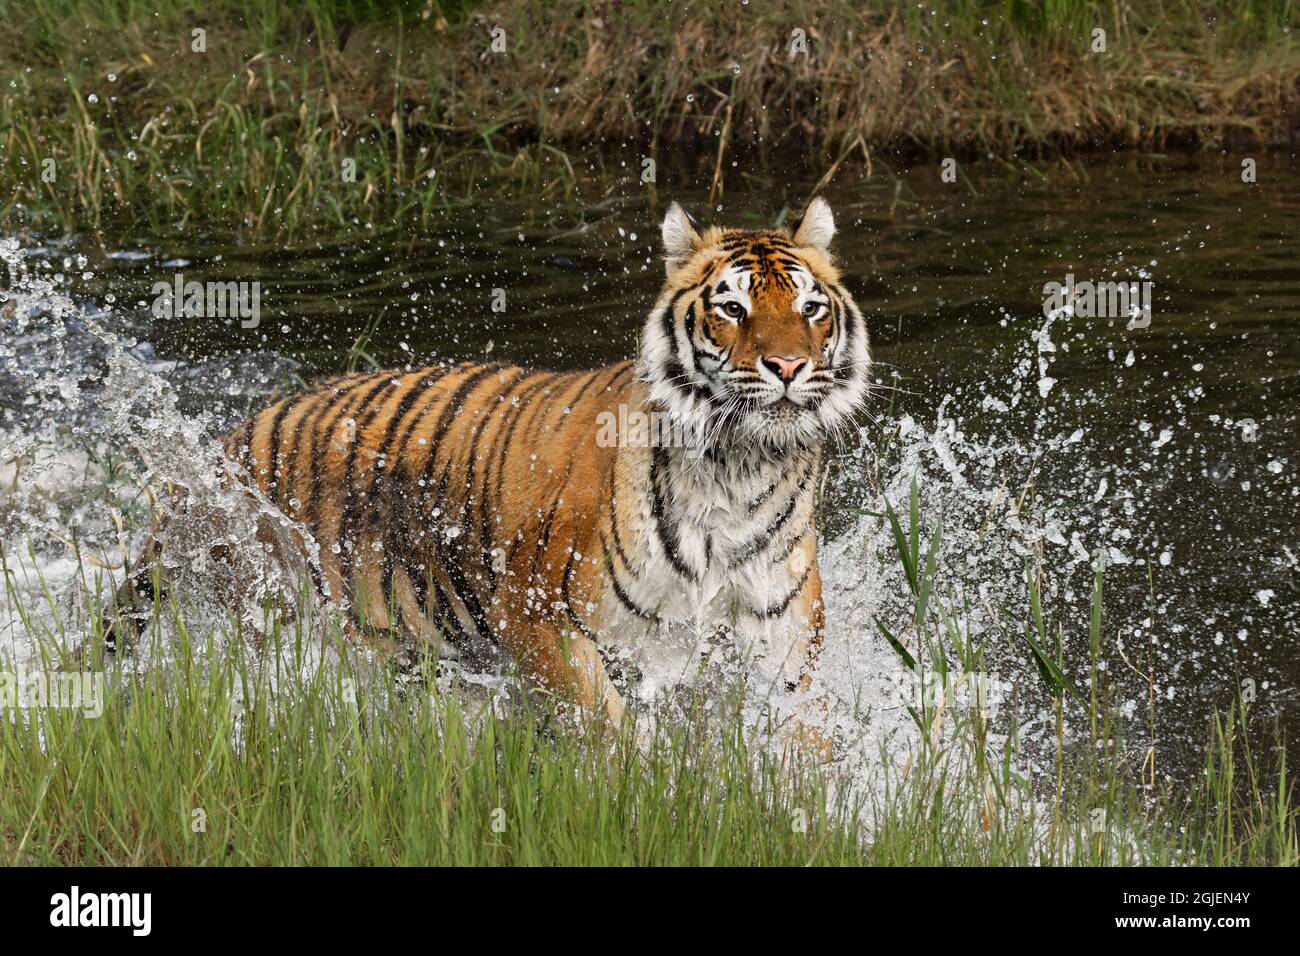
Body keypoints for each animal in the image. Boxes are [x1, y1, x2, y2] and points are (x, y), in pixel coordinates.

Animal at [111, 198, 871, 731]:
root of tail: (228, 442)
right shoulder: (541, 621)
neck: (739, 472)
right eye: (732, 309)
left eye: (811, 308)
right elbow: (608, 728)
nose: (787, 366)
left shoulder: (784, 650)